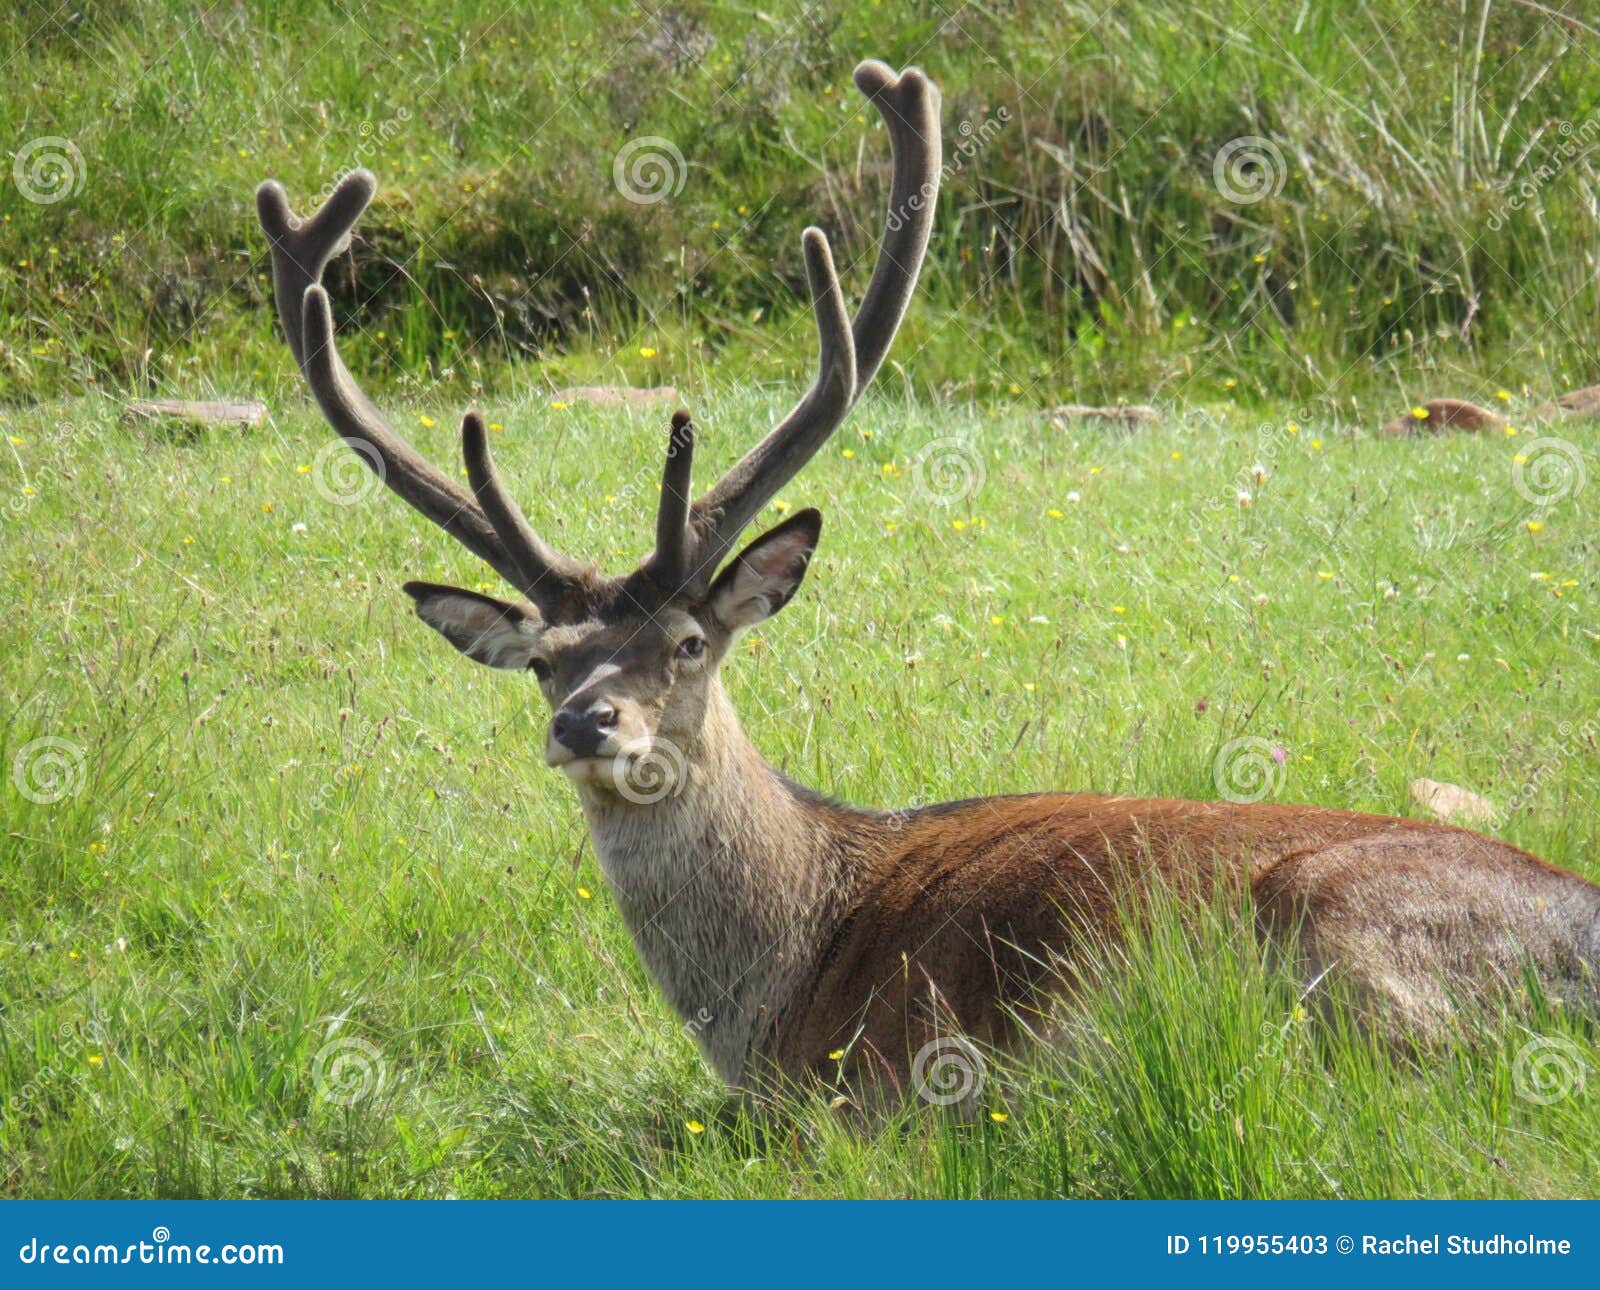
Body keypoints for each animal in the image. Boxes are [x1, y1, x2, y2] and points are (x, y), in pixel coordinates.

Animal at [257, 60, 1600, 1107]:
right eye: (542, 659)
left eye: (689, 641)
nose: (590, 722)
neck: (773, 991)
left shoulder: (870, 1084)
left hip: (1352, 941)